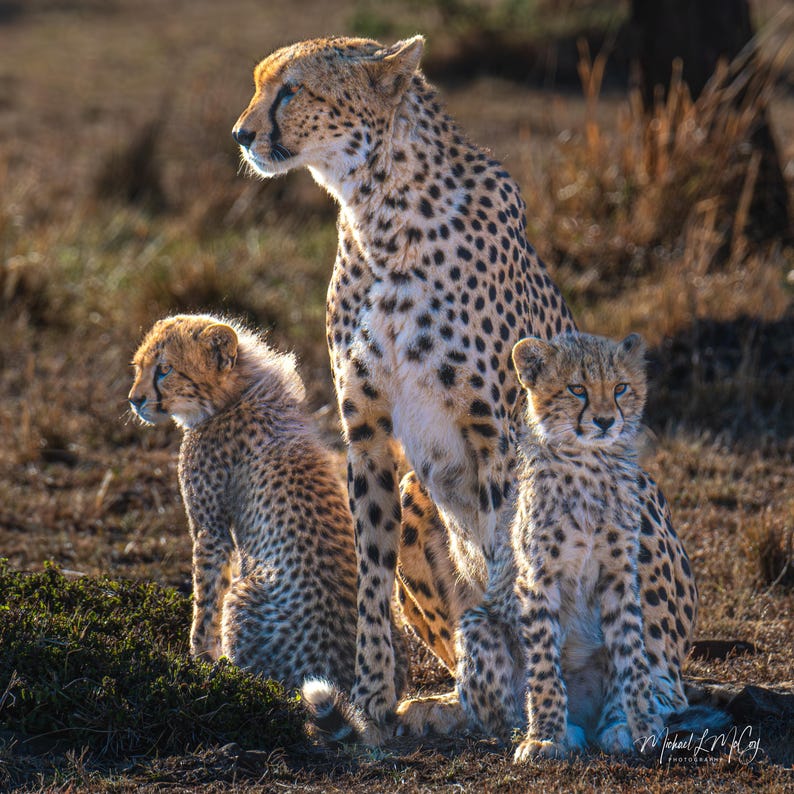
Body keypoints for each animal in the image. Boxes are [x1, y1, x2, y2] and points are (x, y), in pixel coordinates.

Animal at [128, 312, 407, 697]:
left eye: (165, 369)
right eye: (139, 367)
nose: (134, 400)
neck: (235, 393)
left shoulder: (210, 530)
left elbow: (206, 598)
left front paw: (198, 659)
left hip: (243, 594)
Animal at [232, 34, 697, 741]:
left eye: (291, 90)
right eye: (260, 84)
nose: (242, 133)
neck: (380, 216)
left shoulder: (499, 434)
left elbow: (511, 559)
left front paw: (538, 711)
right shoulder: (367, 436)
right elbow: (371, 577)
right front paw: (371, 702)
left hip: (629, 498)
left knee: (664, 674)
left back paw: (622, 713)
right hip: (416, 494)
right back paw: (456, 707)